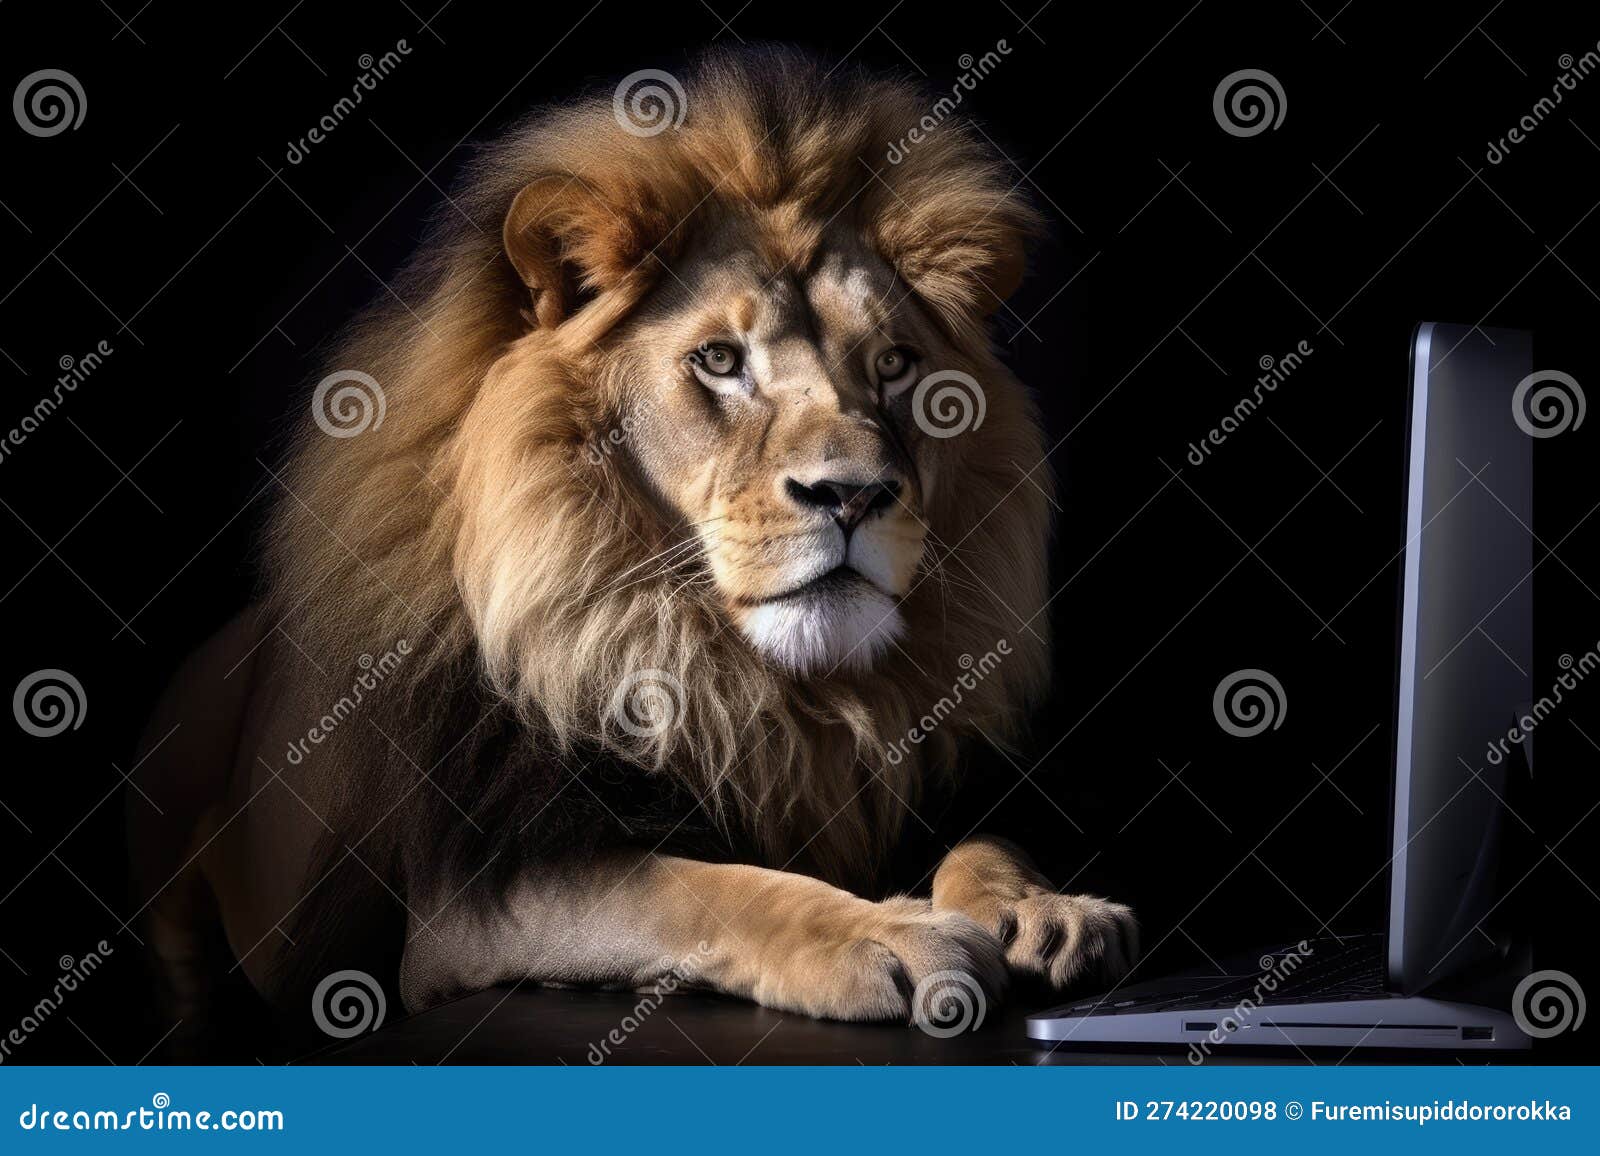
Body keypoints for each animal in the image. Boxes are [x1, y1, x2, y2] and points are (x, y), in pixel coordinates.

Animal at [127, 47, 1137, 1050]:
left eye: (895, 366)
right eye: (720, 361)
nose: (853, 494)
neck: (759, 688)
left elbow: (988, 836)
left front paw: (1044, 908)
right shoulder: (478, 896)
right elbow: (697, 888)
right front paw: (883, 934)